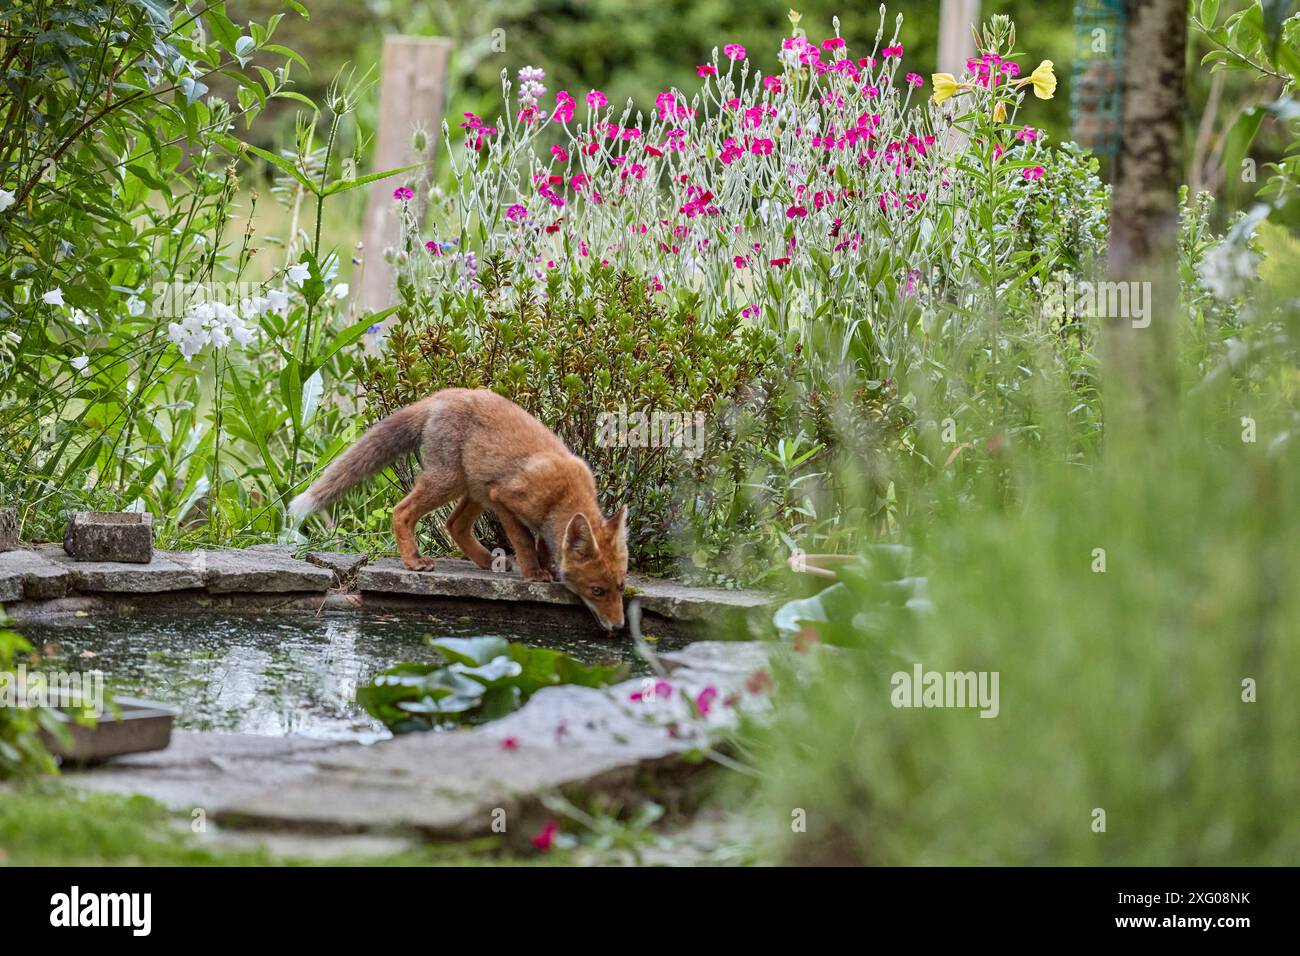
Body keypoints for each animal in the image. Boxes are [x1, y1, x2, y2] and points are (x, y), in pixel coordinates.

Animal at [289, 388, 628, 631]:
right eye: (597, 590)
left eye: (620, 587)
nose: (618, 627)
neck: (561, 496)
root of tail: (444, 394)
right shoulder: (504, 498)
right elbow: (524, 541)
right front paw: (534, 574)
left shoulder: (528, 513)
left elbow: (543, 544)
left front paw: (551, 569)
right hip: (450, 483)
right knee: (402, 511)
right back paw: (413, 561)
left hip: (473, 489)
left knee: (454, 525)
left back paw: (486, 561)